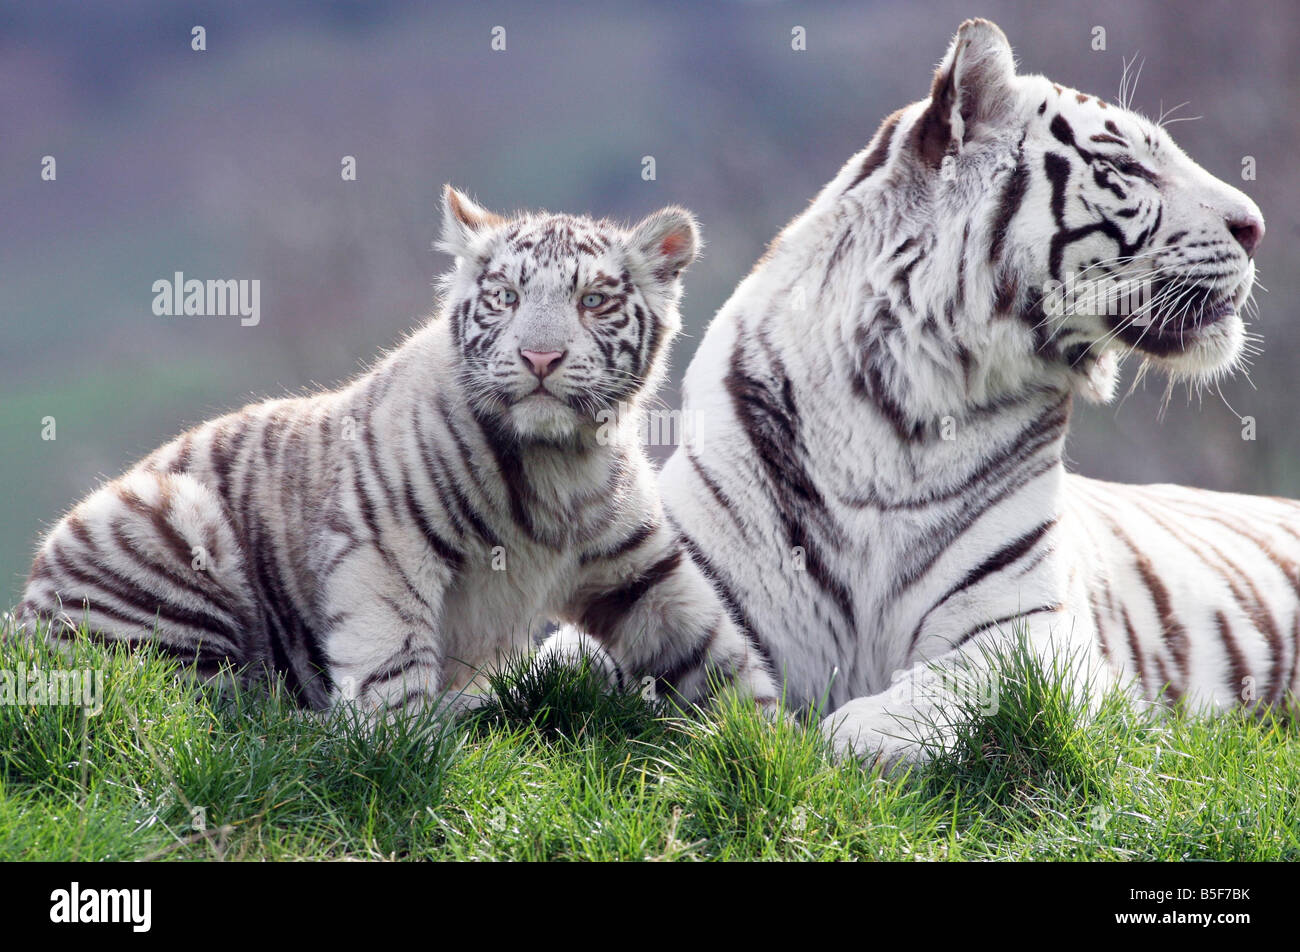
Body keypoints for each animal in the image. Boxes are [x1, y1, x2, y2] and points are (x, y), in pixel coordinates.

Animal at [12, 186, 777, 719]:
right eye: (506, 296)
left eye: (593, 301)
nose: (540, 357)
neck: (560, 460)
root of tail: (18, 618)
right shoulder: (386, 547)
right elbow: (392, 665)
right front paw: (402, 752)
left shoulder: (640, 569)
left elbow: (716, 650)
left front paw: (765, 744)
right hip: (171, 521)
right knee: (198, 701)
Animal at [642, 18, 1285, 765]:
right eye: (1126, 168)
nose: (1256, 226)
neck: (896, 414)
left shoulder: (1033, 632)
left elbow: (908, 710)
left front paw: (825, 744)